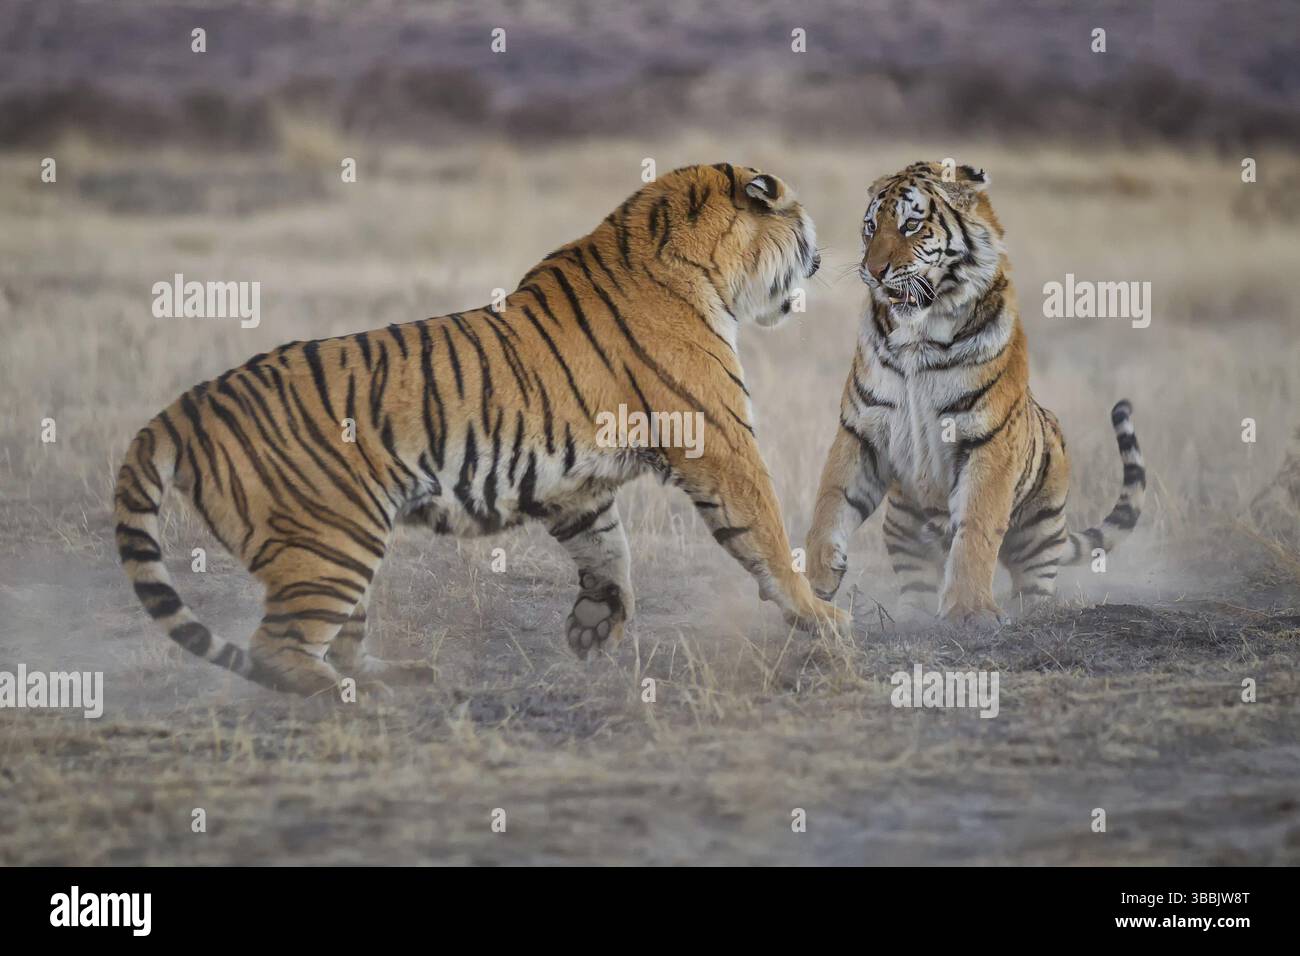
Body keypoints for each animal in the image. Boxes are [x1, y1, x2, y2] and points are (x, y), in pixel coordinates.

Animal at [114, 163, 848, 695]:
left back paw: (399, 679)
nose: (822, 256)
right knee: (275, 649)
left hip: (338, 549)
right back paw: (342, 699)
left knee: (338, 640)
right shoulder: (720, 441)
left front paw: (594, 626)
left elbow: (608, 551)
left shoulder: (576, 487)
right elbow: (766, 532)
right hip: (329, 542)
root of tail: (186, 406)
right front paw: (818, 614)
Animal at [805, 161, 1146, 626]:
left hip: (1039, 530)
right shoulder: (861, 428)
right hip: (902, 525)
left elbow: (977, 528)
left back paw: (1029, 613)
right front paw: (816, 578)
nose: (873, 272)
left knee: (1034, 585)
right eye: (871, 227)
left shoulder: (988, 438)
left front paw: (970, 612)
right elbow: (830, 500)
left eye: (911, 225)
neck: (919, 336)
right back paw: (910, 616)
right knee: (916, 585)